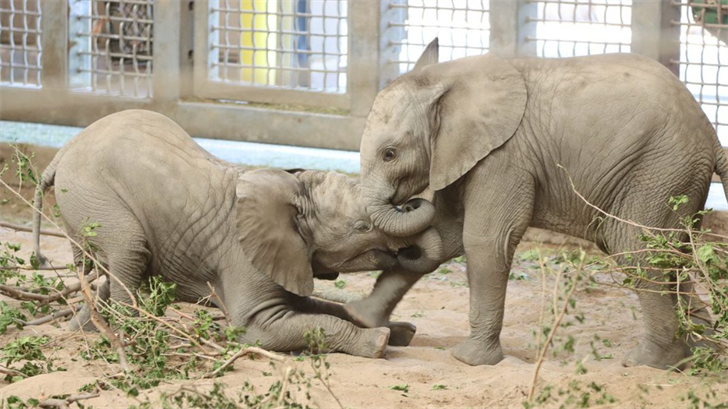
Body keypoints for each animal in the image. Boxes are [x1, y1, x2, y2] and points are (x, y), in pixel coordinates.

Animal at [31, 109, 444, 357]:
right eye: (362, 227)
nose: (412, 200)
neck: (293, 191)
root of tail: (63, 151)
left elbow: (316, 307)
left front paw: (402, 331)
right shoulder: (244, 257)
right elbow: (262, 328)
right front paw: (380, 341)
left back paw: (80, 331)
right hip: (92, 195)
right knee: (129, 253)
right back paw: (131, 335)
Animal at [350, 38, 728, 369]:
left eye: (389, 154)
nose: (409, 203)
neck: (450, 76)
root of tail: (711, 135)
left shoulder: (504, 156)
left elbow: (484, 240)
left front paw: (469, 360)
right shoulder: (461, 154)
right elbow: (446, 235)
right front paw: (361, 317)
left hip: (659, 170)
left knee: (636, 249)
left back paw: (650, 362)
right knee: (670, 254)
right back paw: (701, 356)